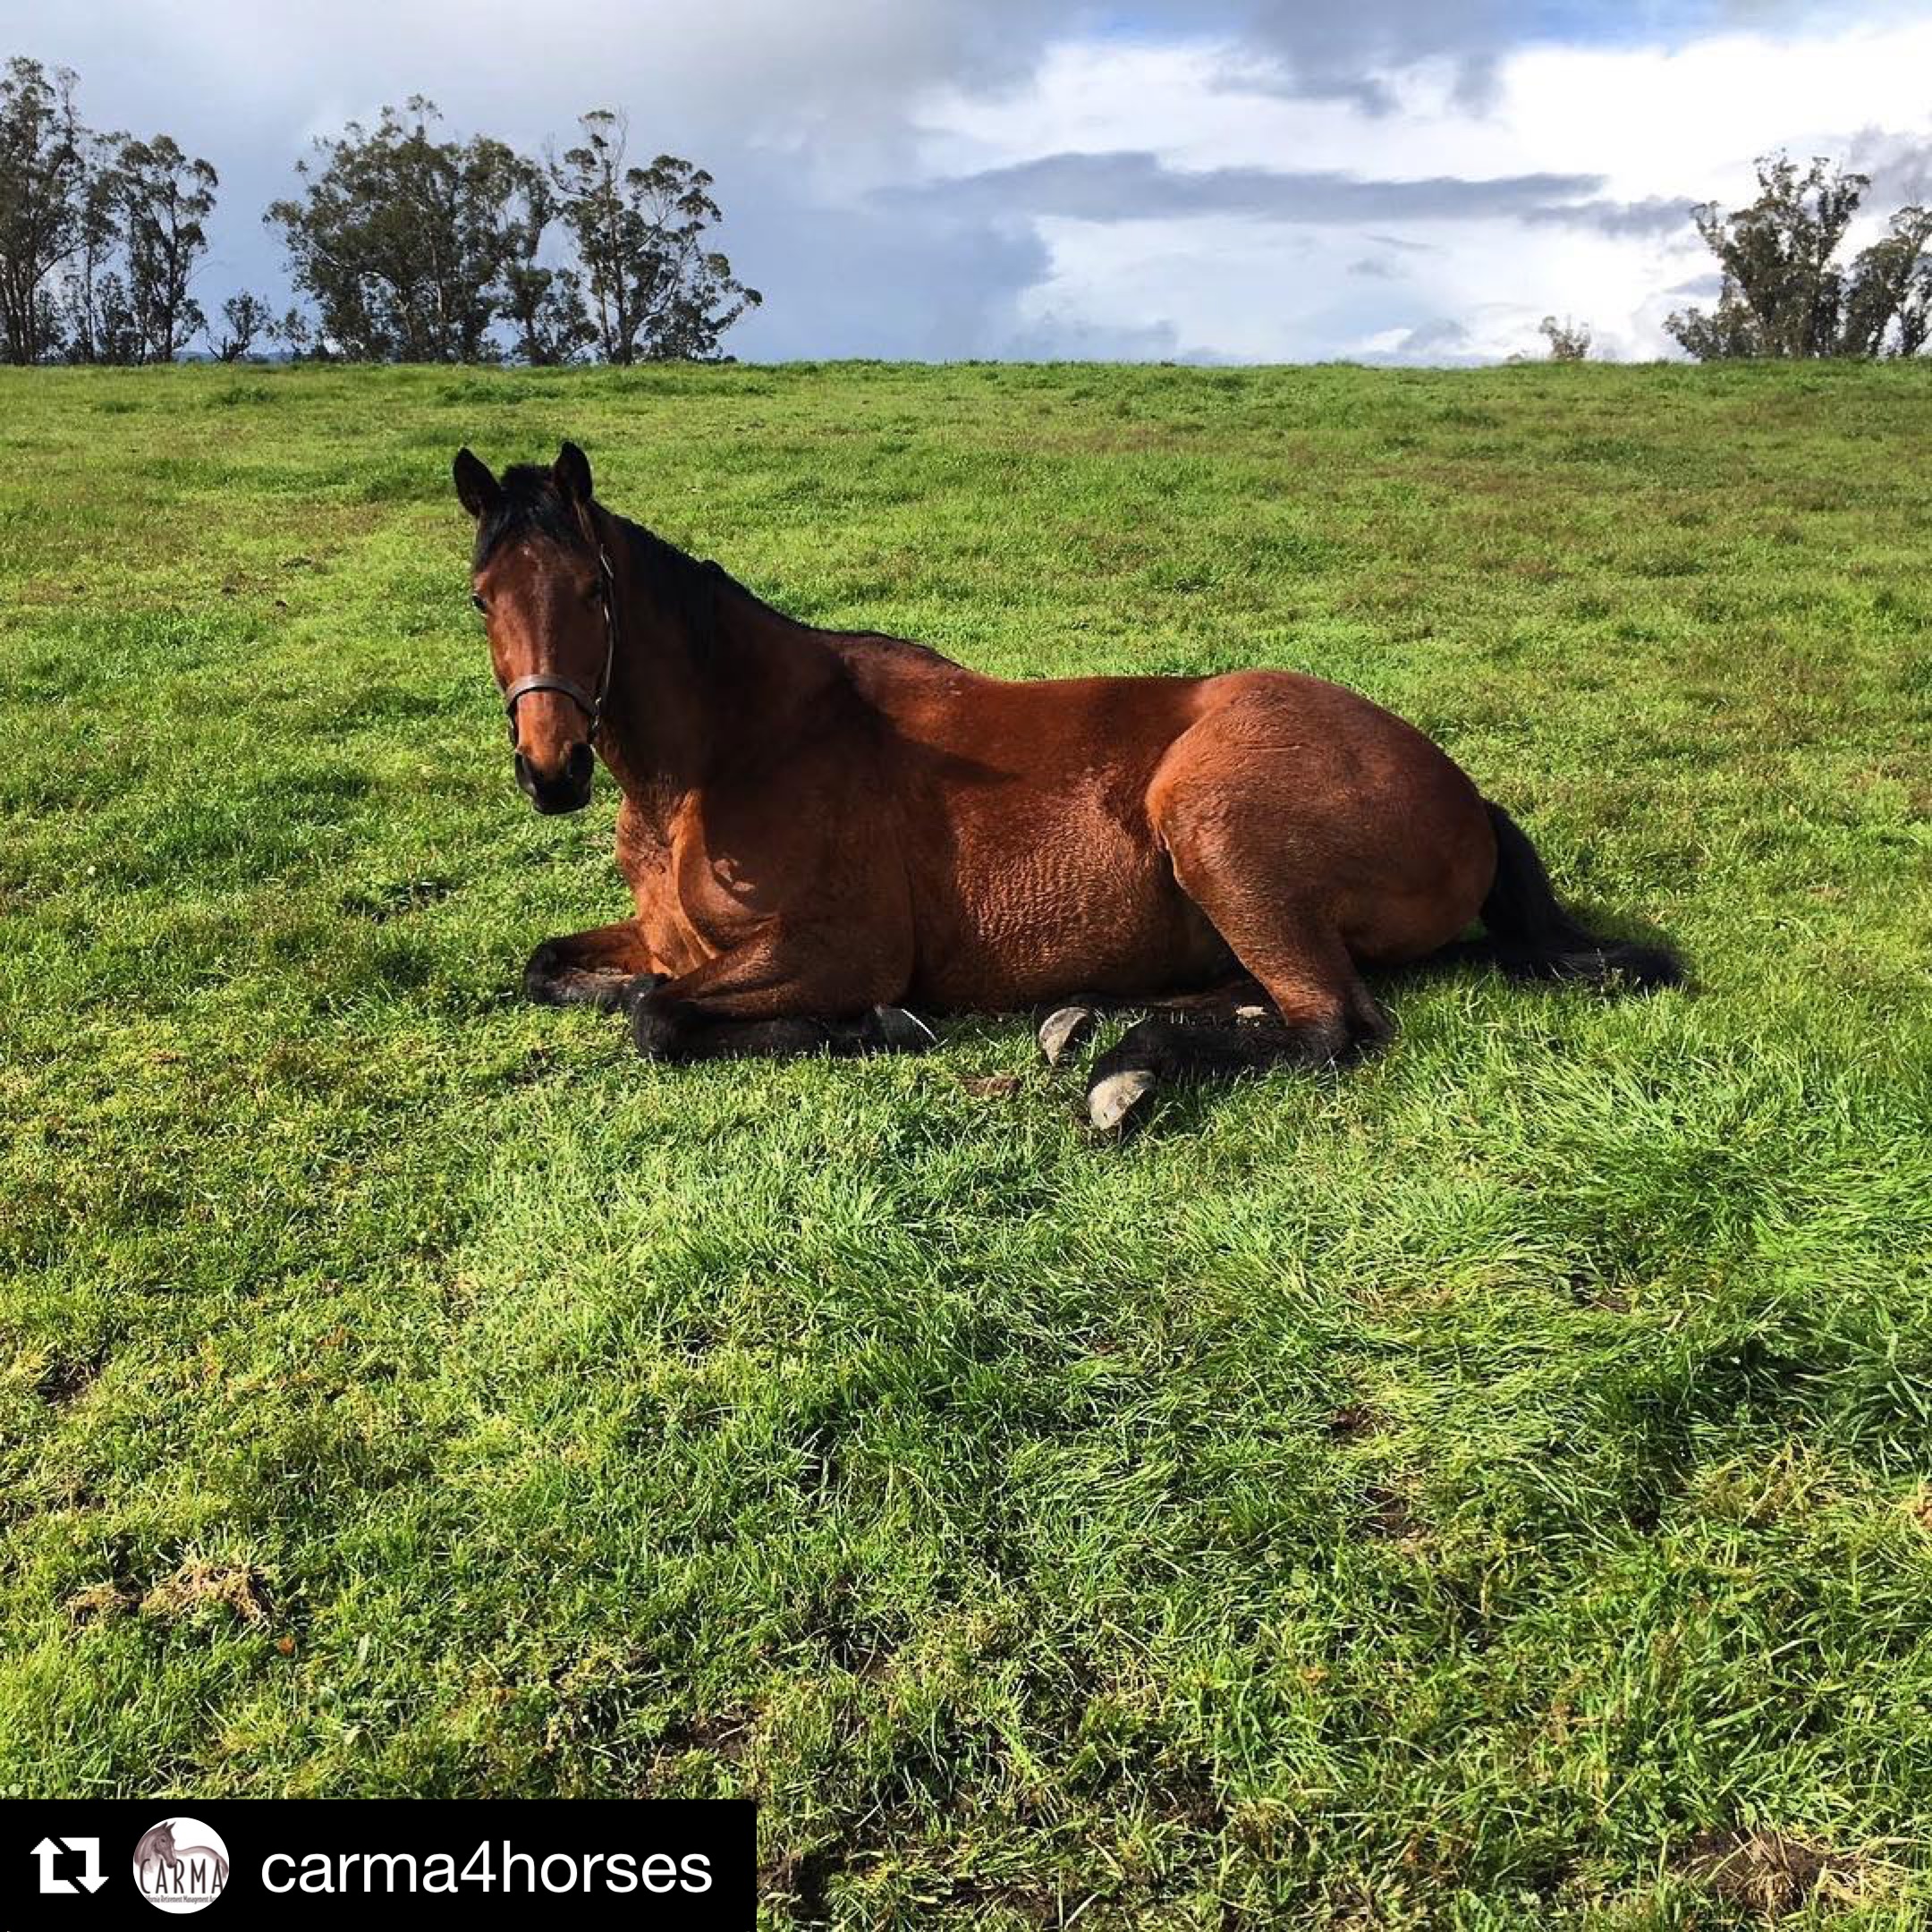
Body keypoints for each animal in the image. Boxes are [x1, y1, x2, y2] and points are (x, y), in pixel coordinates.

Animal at [452, 442, 1680, 1131]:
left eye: (593, 591)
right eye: (480, 598)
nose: (551, 772)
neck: (730, 759)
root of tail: (1466, 795)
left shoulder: (836, 951)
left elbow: (661, 1019)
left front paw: (873, 1028)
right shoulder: (664, 936)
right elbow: (562, 970)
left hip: (1215, 826)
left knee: (1332, 1025)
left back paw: (1126, 1072)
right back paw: (1092, 1025)